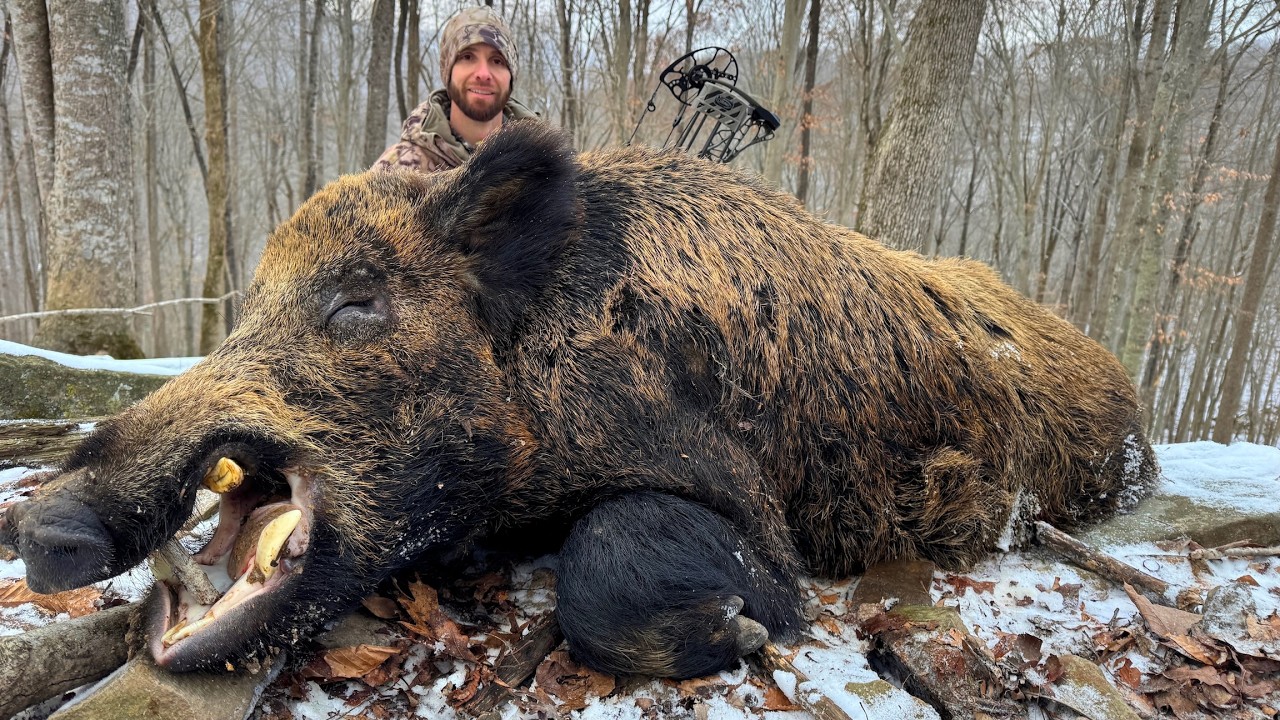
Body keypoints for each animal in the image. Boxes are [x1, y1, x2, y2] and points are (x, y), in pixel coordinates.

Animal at [1, 121, 1158, 679]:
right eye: (250, 302)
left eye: (356, 301)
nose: (41, 528)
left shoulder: (754, 507)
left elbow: (623, 552)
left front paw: (739, 630)